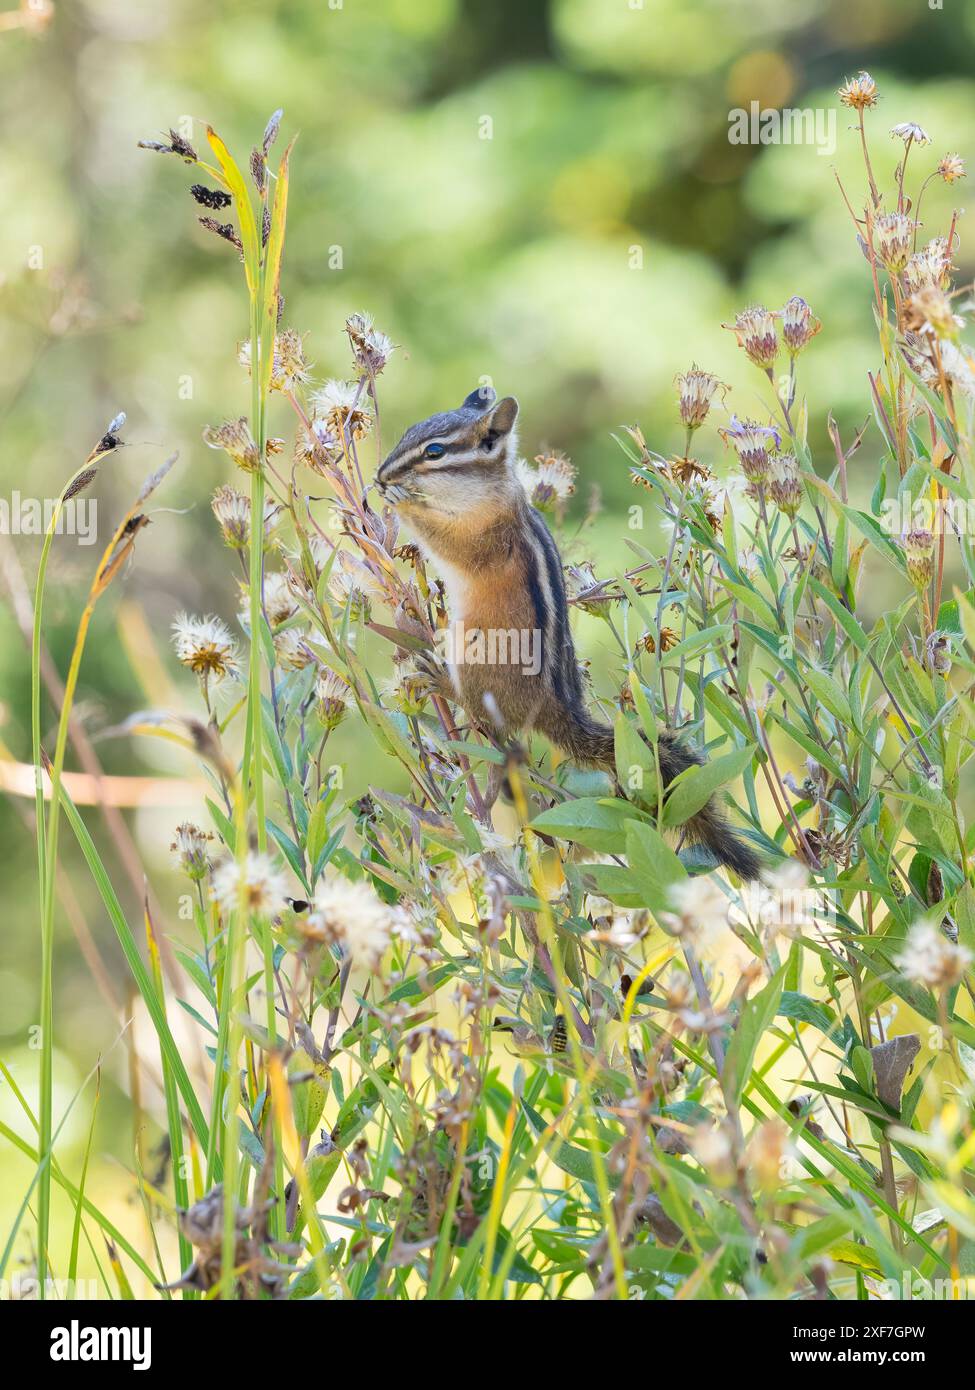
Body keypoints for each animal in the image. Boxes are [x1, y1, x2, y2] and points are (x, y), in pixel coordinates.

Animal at [376, 386, 760, 880]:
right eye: (409, 433)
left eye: (435, 451)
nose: (382, 473)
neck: (490, 494)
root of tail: (556, 709)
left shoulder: (481, 534)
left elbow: (444, 539)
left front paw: (399, 500)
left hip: (476, 659)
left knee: (478, 709)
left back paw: (442, 680)